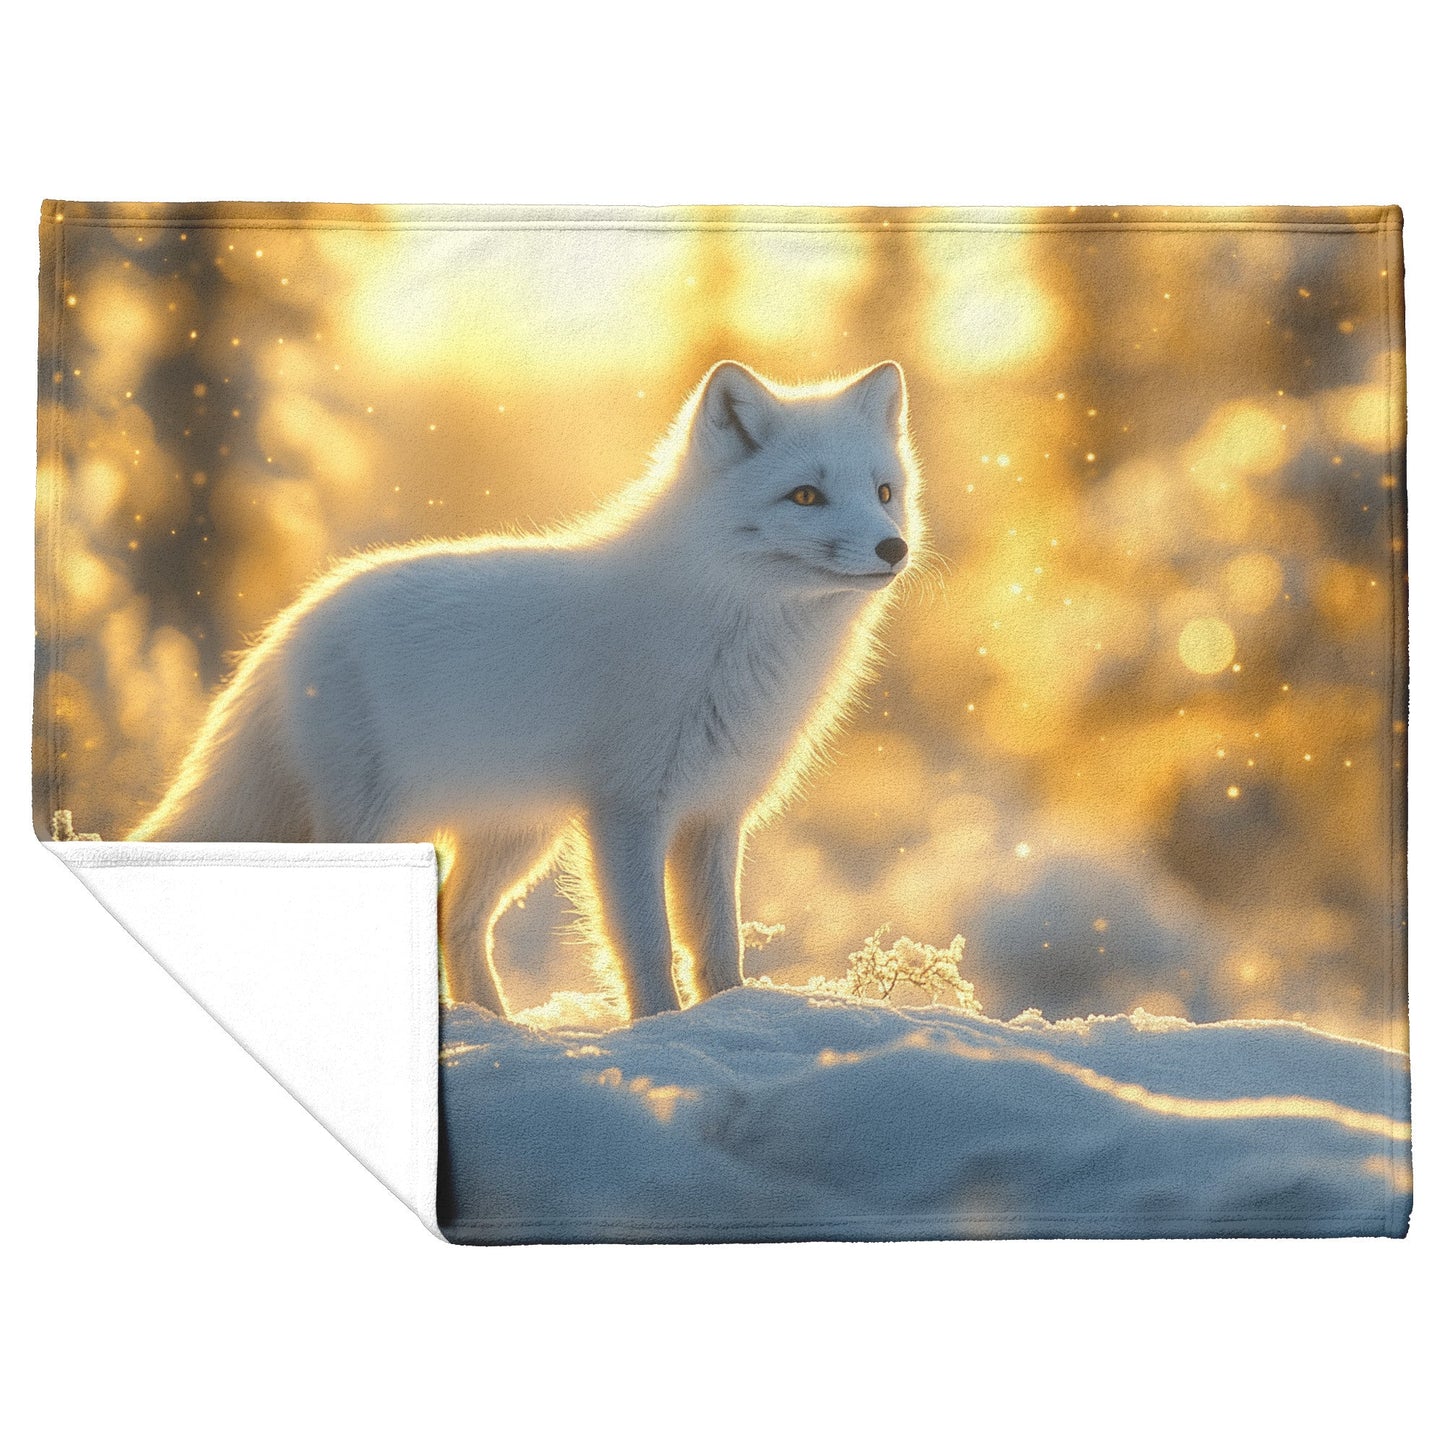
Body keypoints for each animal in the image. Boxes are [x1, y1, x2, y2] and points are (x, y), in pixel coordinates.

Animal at [131, 360, 925, 1018]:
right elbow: (646, 947)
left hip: (516, 835)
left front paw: (731, 1023)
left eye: (884, 491)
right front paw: (660, 1029)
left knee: (456, 918)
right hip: (379, 825)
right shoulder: (626, 812)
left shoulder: (715, 814)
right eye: (806, 494)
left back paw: (493, 1024)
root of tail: (288, 626)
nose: (894, 548)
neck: (734, 635)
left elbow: (717, 946)